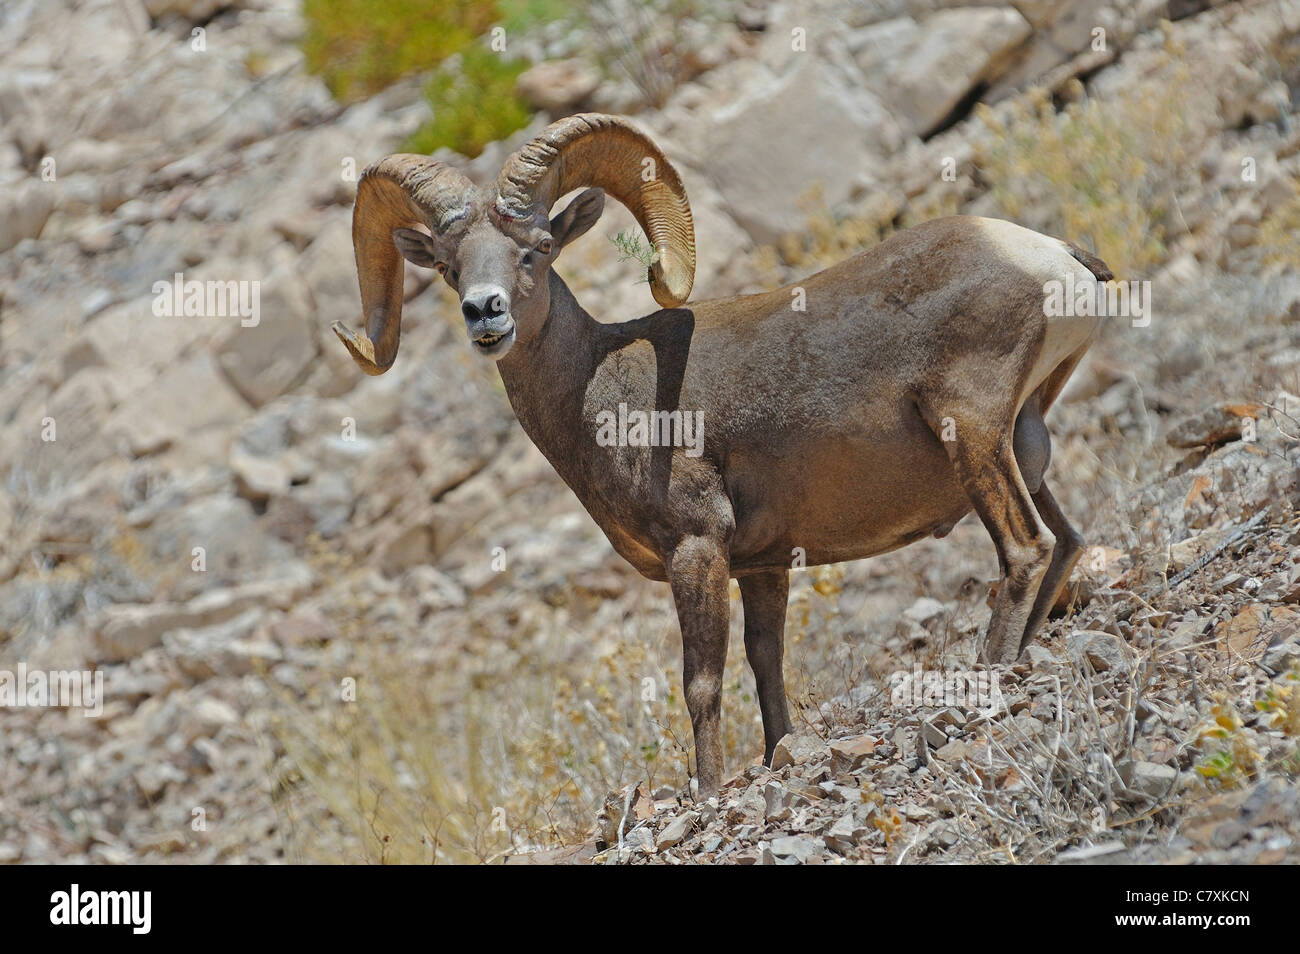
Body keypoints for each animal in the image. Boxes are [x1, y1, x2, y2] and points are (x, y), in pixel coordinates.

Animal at [332, 113, 1111, 796]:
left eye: (537, 249)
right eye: (449, 268)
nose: (484, 313)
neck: (604, 388)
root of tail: (1049, 255)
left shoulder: (697, 549)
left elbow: (701, 683)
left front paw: (708, 793)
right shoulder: (764, 566)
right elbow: (768, 666)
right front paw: (777, 758)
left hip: (972, 434)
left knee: (1024, 548)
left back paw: (990, 672)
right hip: (1021, 442)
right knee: (1068, 541)